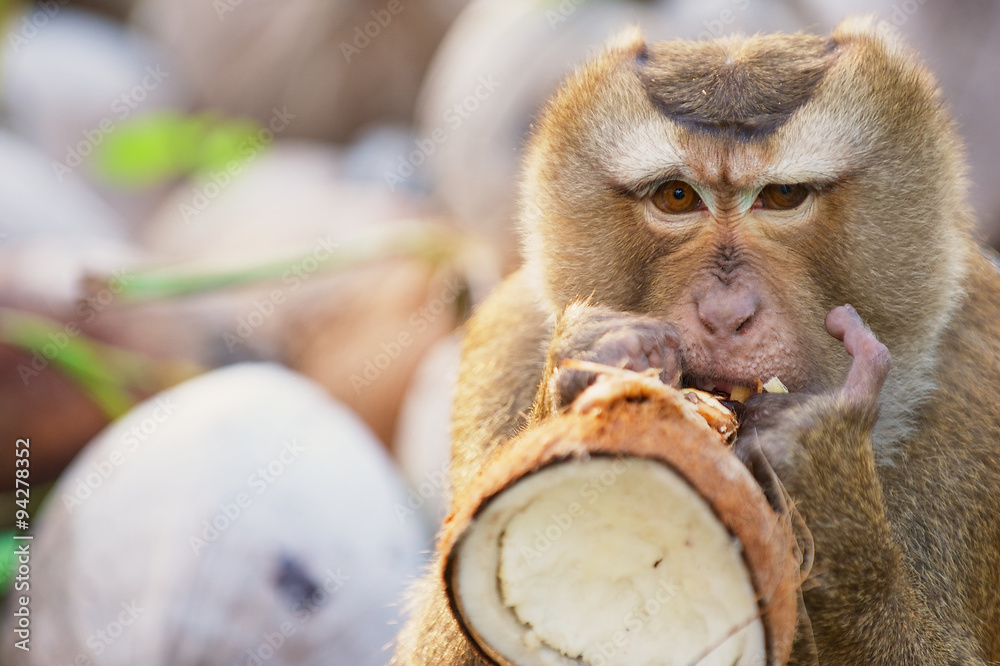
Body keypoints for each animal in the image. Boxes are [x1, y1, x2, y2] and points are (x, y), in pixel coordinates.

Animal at [393, 16, 1000, 665]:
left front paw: (818, 462)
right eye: (677, 196)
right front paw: (594, 361)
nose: (725, 314)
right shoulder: (505, 343)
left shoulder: (976, 385)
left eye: (783, 196)